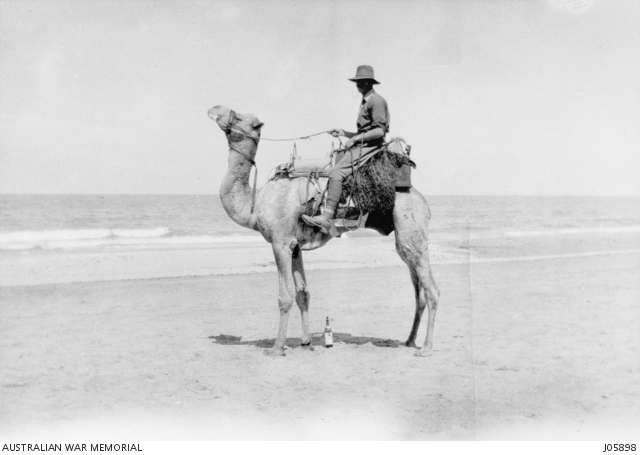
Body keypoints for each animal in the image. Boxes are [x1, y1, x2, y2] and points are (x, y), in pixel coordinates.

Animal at [208, 105, 440, 357]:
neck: (255, 203)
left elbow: (285, 296)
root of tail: (424, 202)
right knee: (418, 291)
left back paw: (426, 348)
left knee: (431, 290)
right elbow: (302, 293)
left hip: (410, 227)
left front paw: (277, 348)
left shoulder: (280, 241)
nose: (215, 109)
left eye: (239, 117)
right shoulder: (295, 245)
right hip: (404, 238)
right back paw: (409, 340)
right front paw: (306, 341)